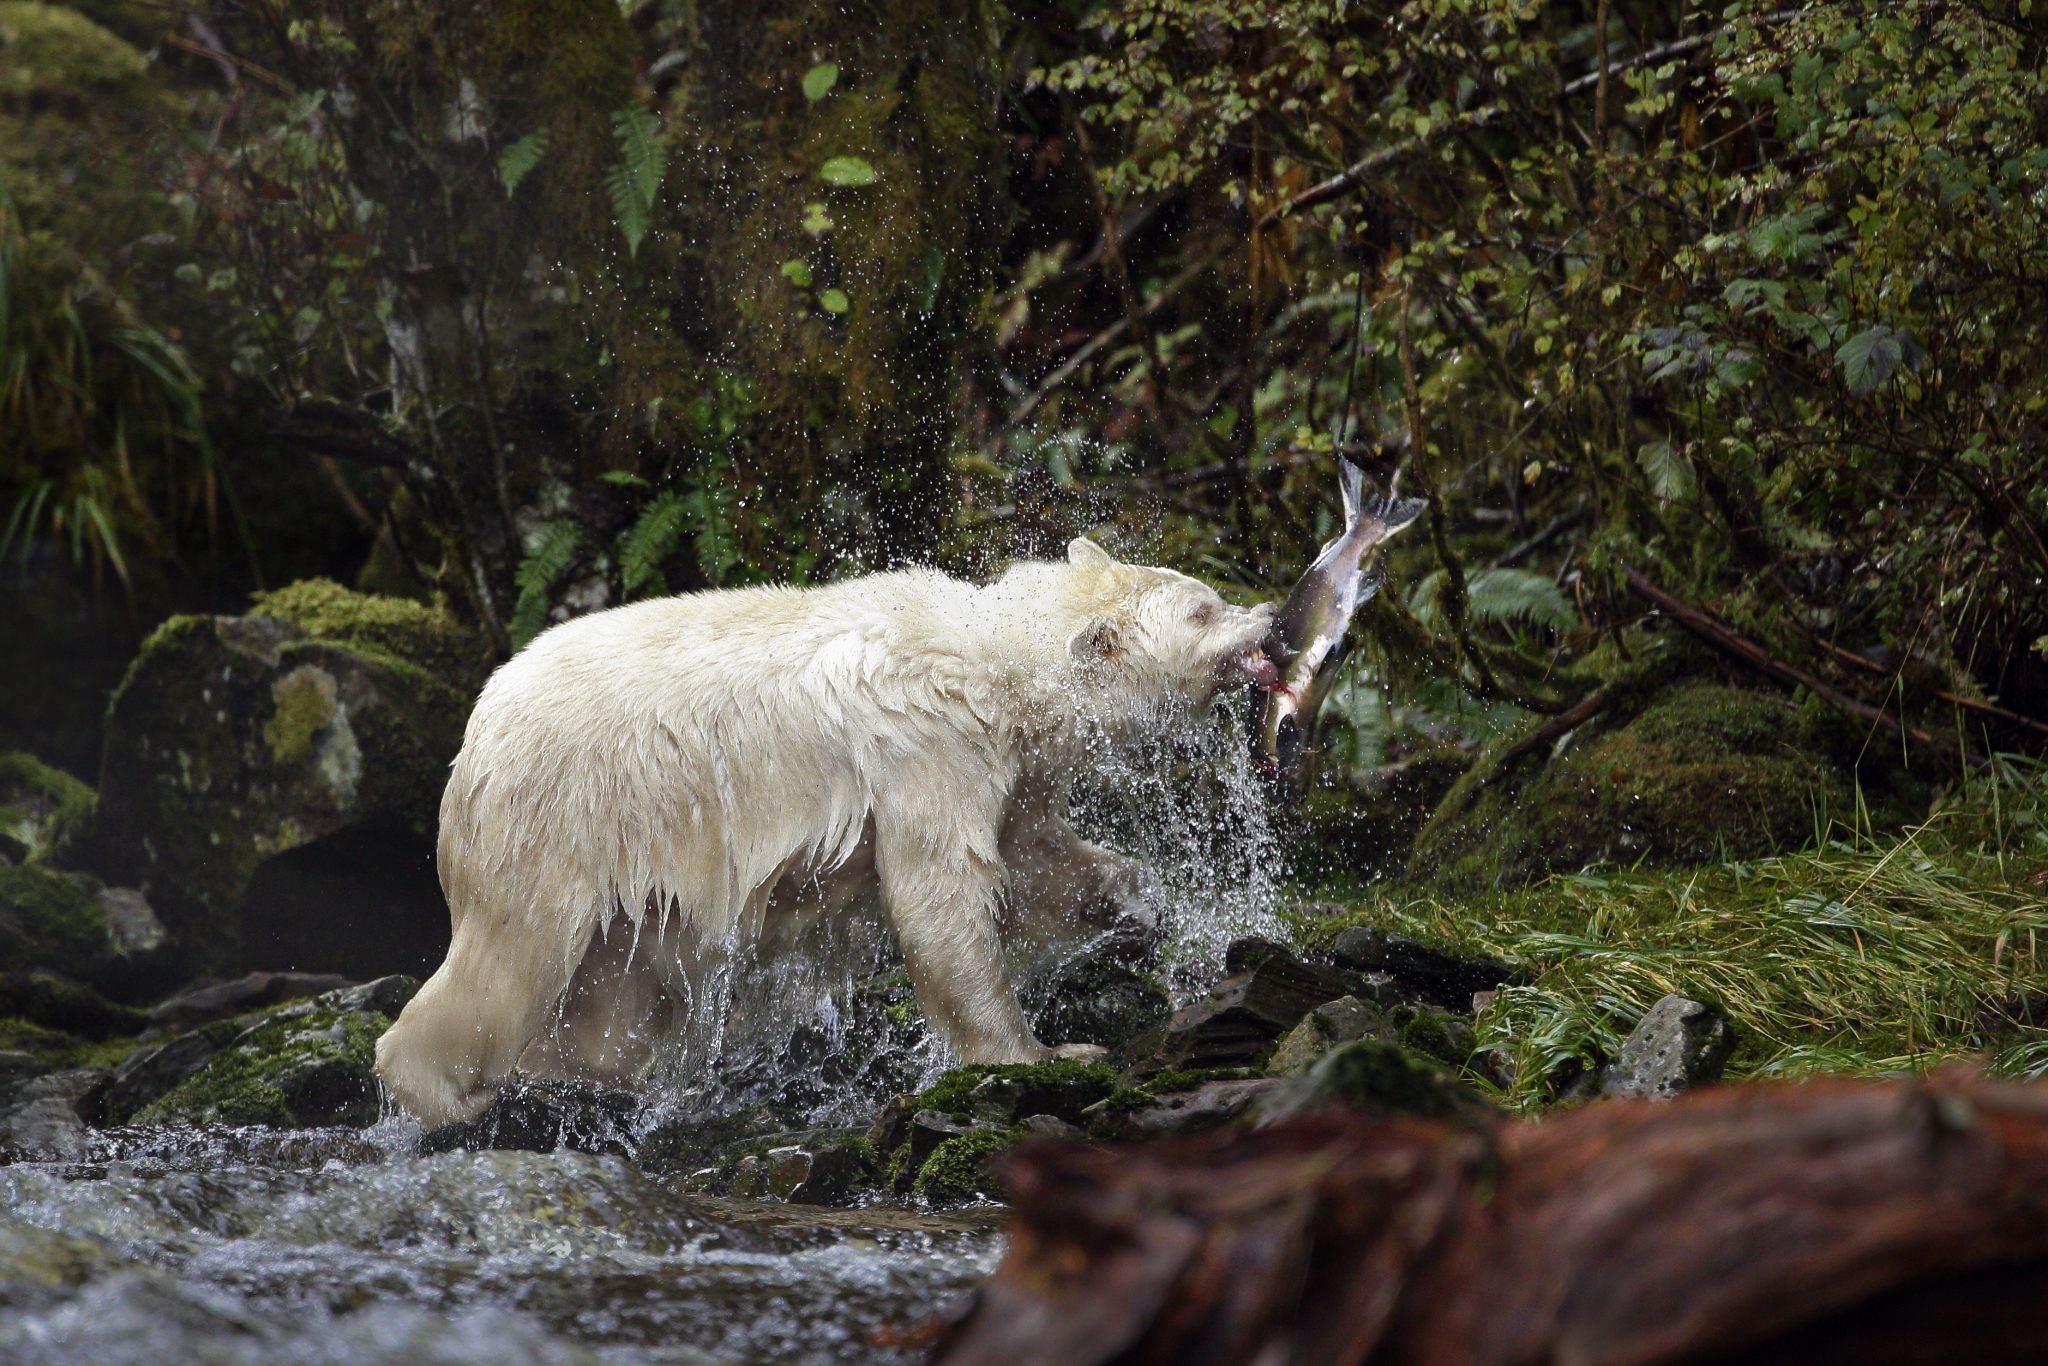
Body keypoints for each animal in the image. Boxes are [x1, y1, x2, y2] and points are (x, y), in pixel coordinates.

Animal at [374, 537, 1278, 1128]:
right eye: (1203, 608)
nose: (1270, 614)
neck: (988, 661)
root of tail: (475, 734)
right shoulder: (928, 751)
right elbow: (945, 897)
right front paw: (1043, 1057)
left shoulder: (1004, 769)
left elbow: (1031, 860)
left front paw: (1133, 902)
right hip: (566, 823)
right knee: (512, 961)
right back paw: (445, 1094)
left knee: (611, 994)